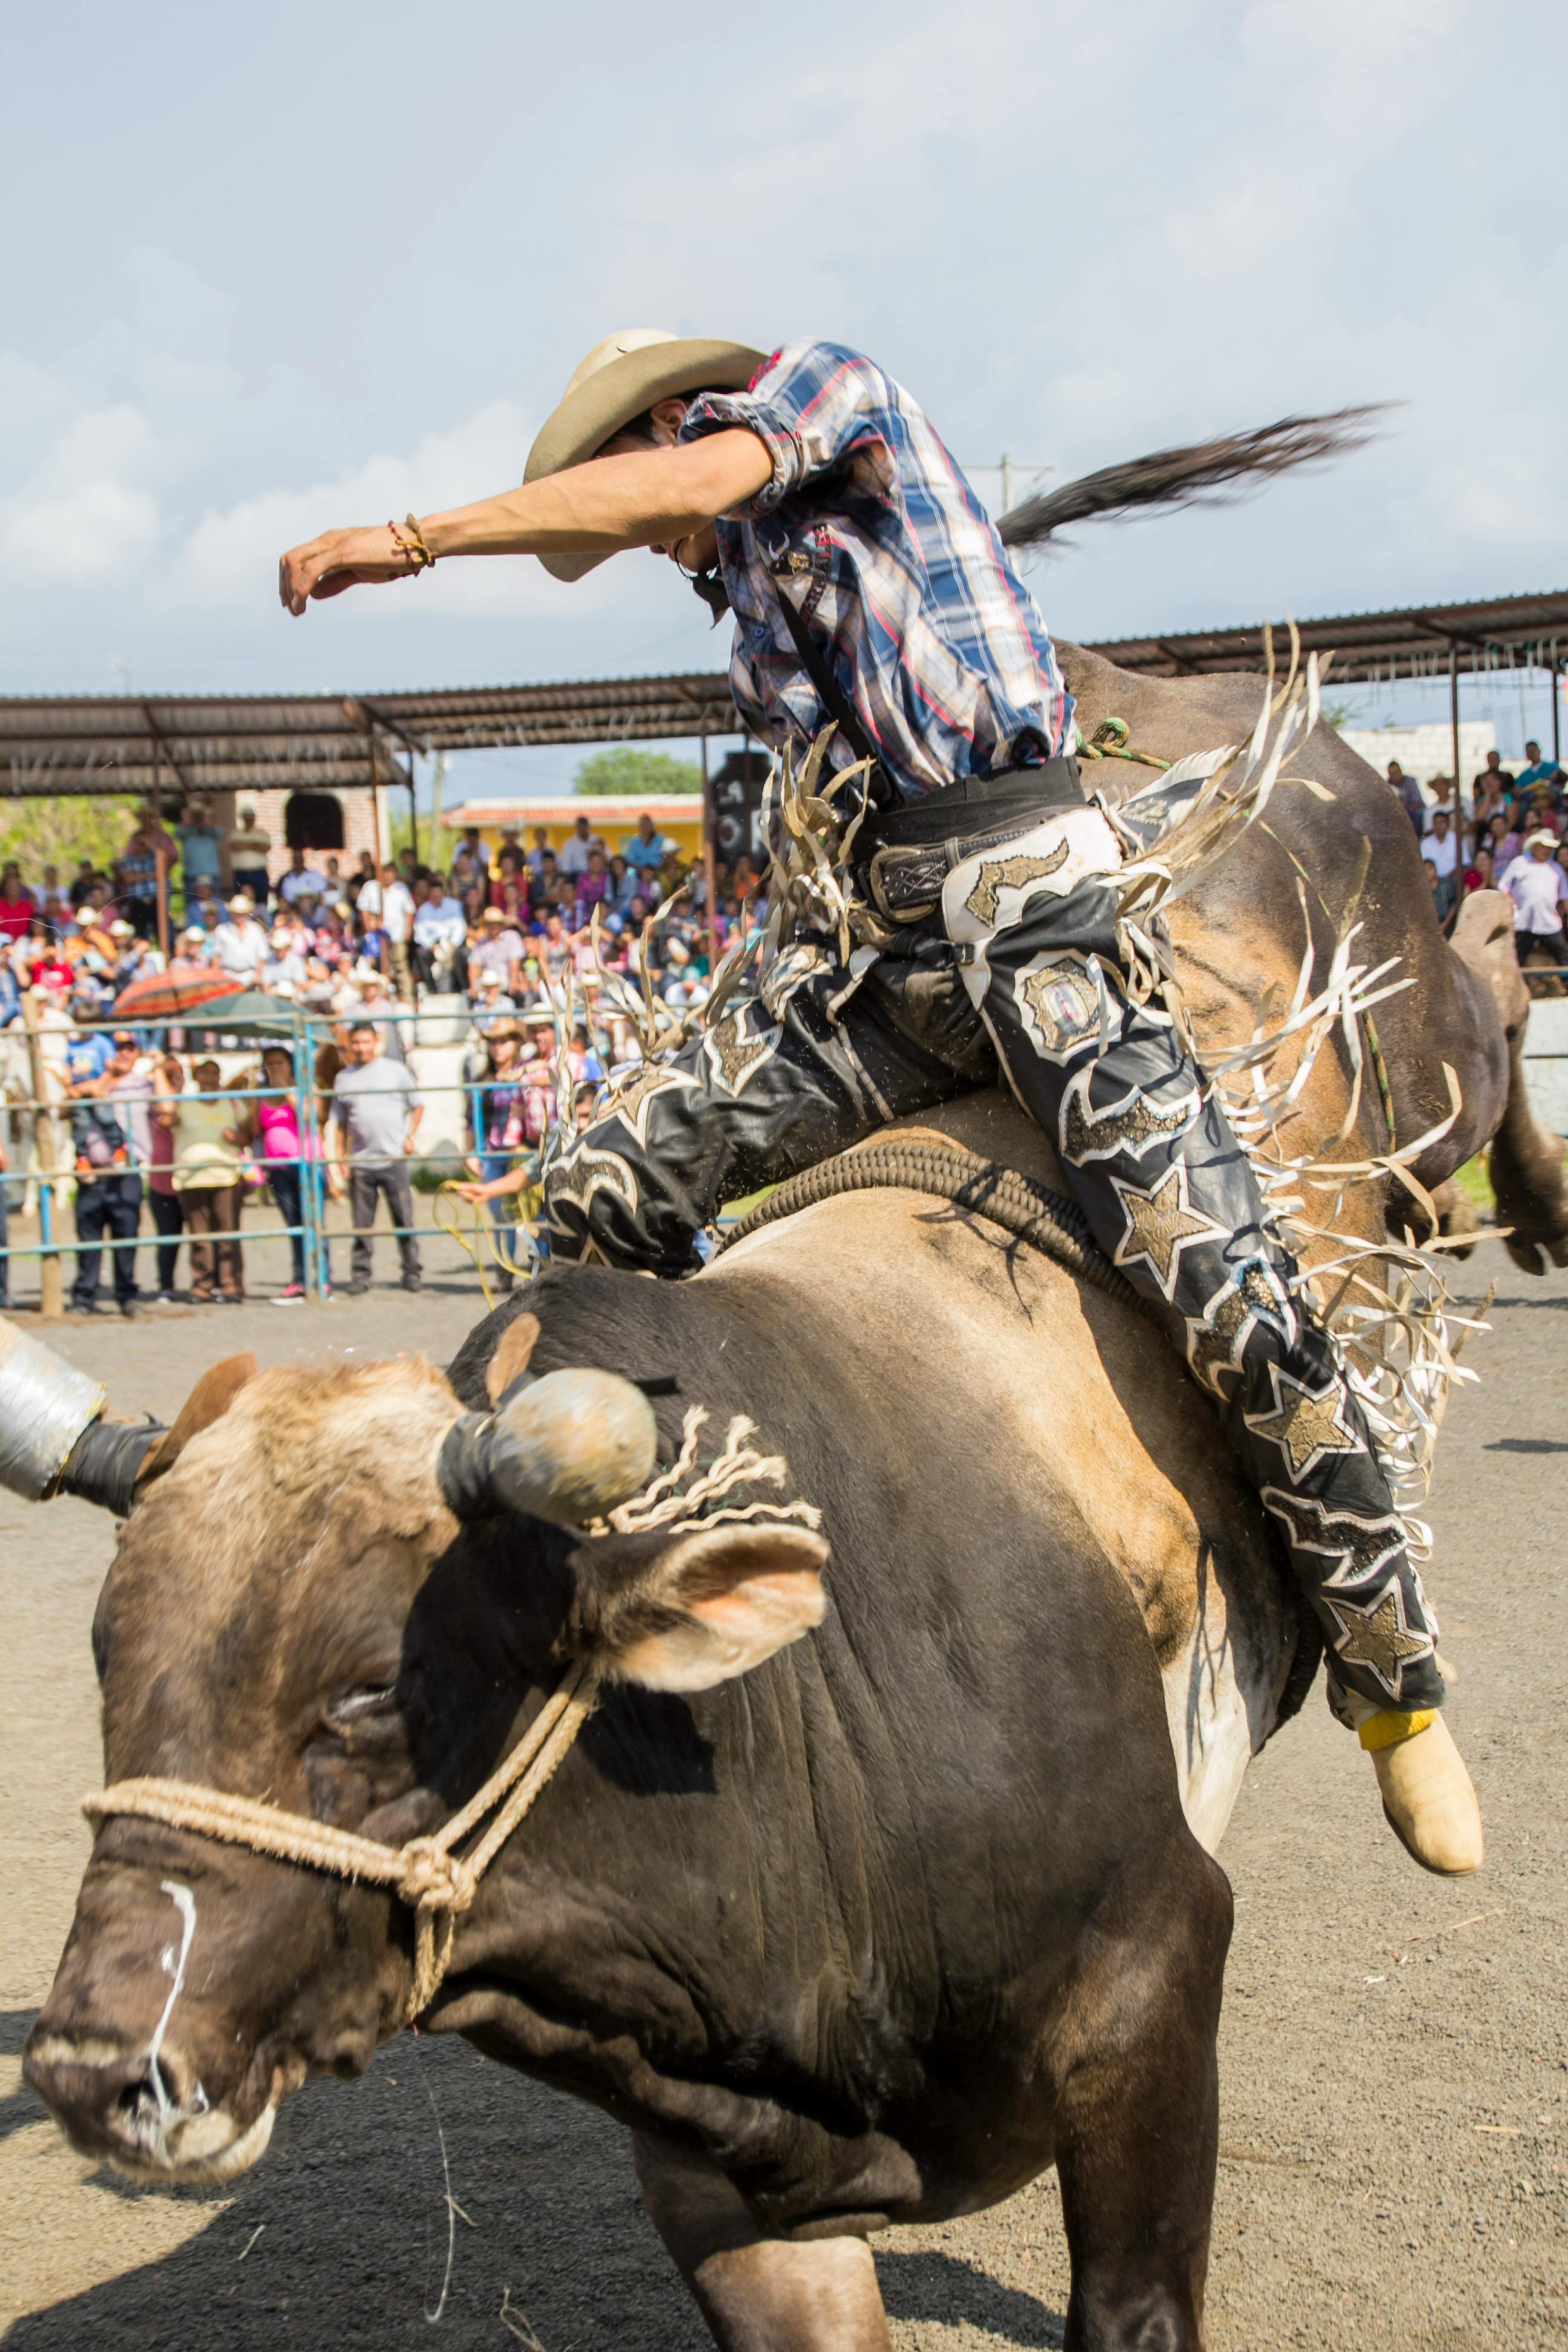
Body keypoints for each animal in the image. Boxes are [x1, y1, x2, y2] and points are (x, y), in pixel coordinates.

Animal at [11, 681, 1565, 2352]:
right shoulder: (725, 2190)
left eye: (371, 1691)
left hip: (1329, 1107)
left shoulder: (1154, 1991)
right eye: (108, 1662)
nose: (100, 2069)